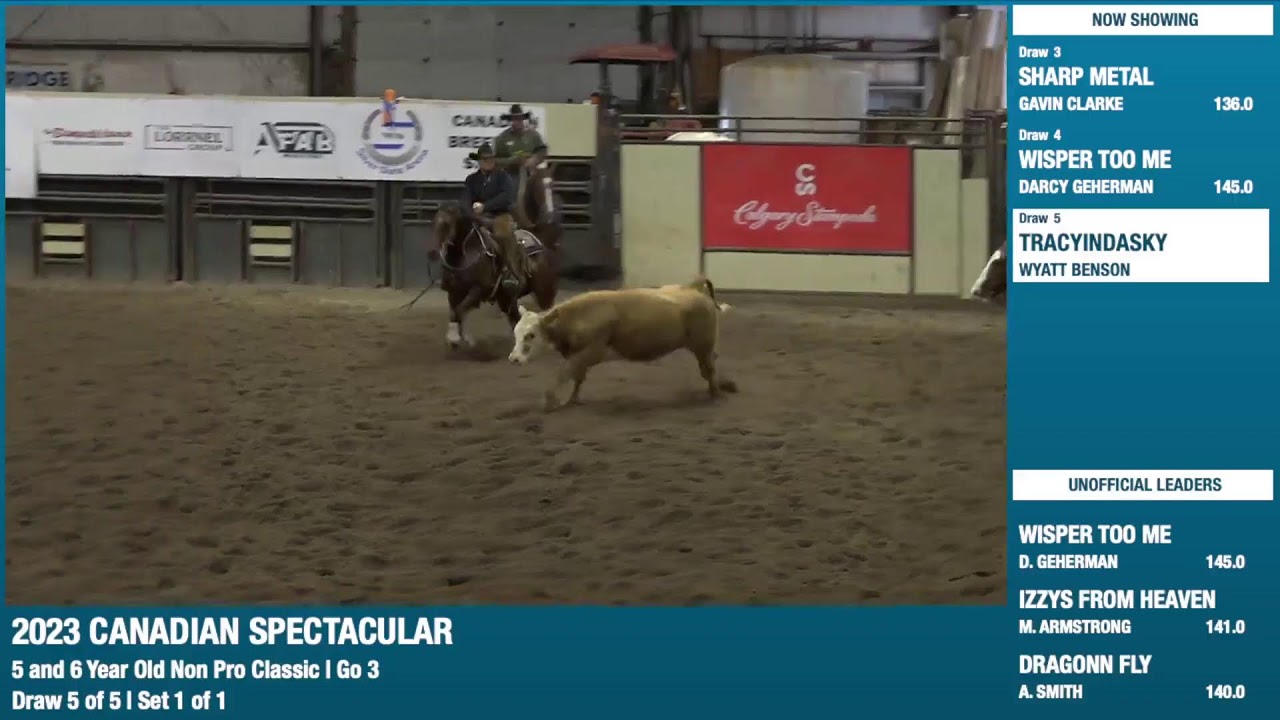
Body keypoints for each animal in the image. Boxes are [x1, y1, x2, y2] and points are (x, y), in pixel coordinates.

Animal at [429, 196, 559, 350]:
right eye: (434, 222)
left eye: (447, 224)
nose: (433, 252)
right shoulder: (454, 291)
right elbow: (455, 312)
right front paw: (457, 337)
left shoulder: (479, 290)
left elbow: (460, 310)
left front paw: (459, 338)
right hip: (506, 298)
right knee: (515, 318)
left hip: (544, 292)